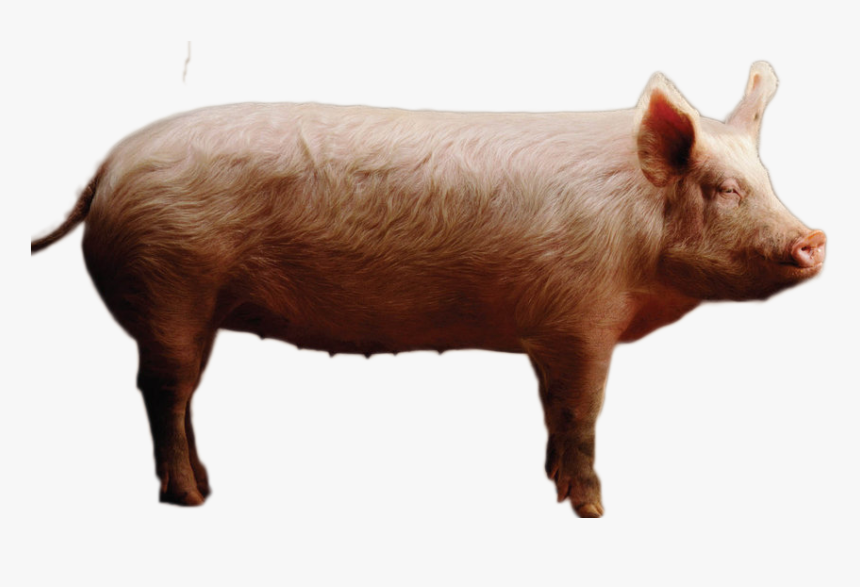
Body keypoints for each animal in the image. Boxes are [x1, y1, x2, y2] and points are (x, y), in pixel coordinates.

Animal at [30, 62, 825, 517]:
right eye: (725, 190)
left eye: (767, 180)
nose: (816, 238)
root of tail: (107, 170)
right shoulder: (580, 320)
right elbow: (582, 414)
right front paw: (593, 512)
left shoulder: (549, 332)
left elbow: (552, 413)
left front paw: (552, 484)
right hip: (171, 287)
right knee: (162, 391)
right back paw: (190, 500)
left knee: (181, 393)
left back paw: (205, 484)